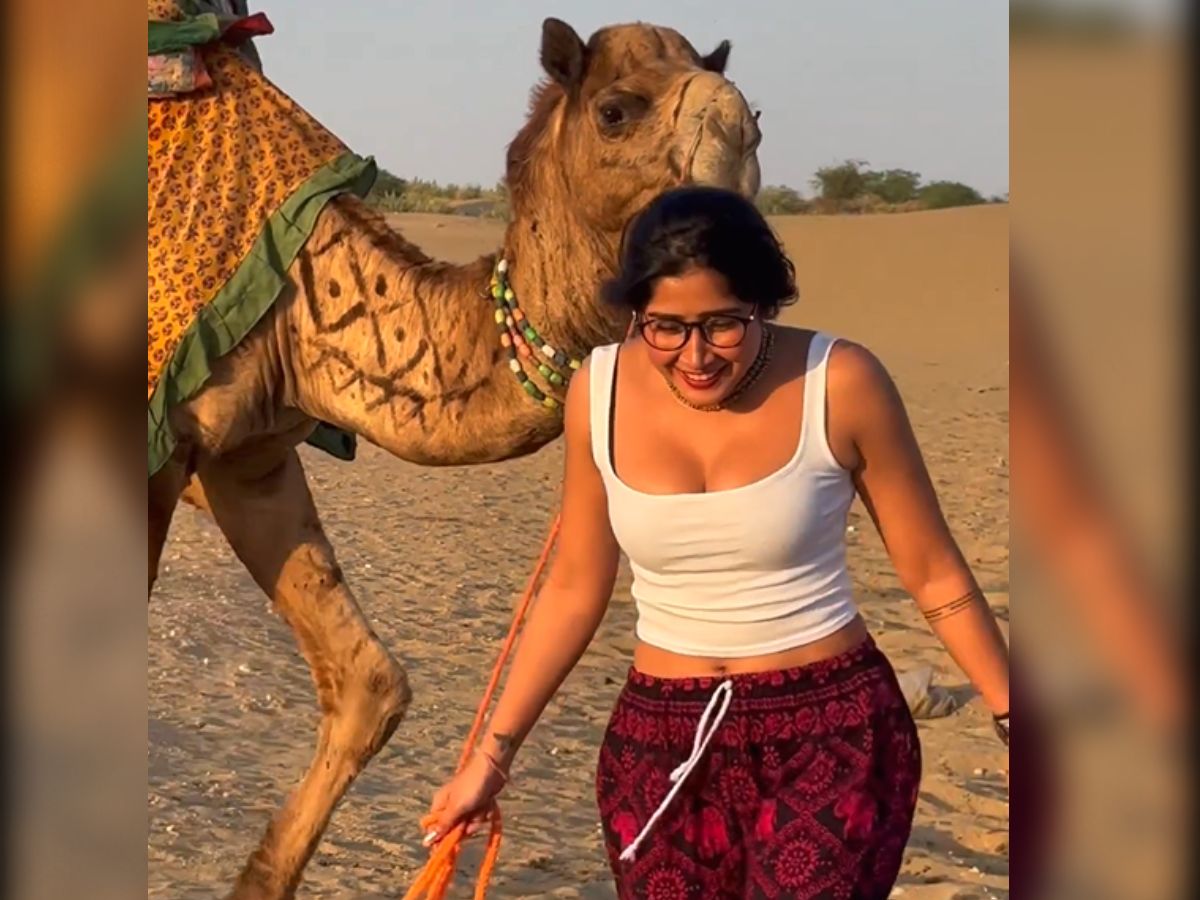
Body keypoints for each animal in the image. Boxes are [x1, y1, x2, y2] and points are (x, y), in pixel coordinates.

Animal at [148, 17, 761, 899]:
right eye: (615, 110)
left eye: (762, 120)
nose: (736, 126)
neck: (303, 296)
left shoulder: (247, 458)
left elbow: (373, 685)